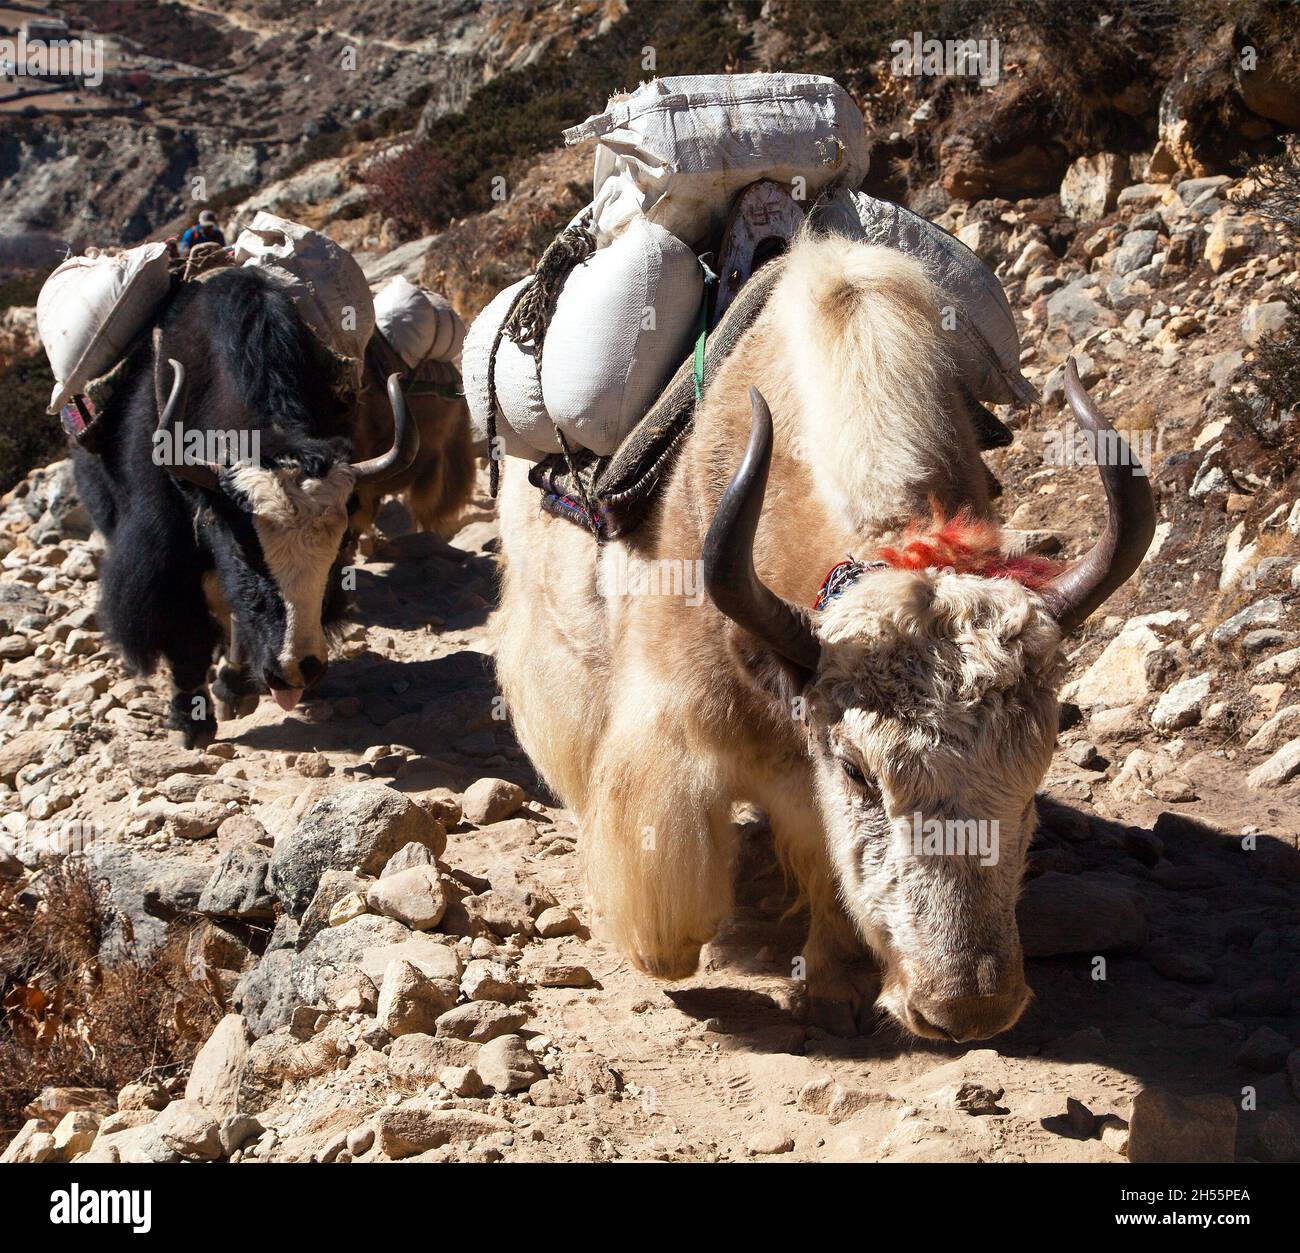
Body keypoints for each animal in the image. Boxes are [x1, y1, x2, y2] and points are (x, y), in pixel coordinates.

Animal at [73, 264, 418, 748]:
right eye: (243, 549)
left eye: (342, 546)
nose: (297, 669)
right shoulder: (167, 535)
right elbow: (185, 614)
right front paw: (190, 719)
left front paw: (235, 685)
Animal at [494, 232, 1155, 1042]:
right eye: (859, 772)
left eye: (1035, 775)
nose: (970, 1009)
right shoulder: (674, 718)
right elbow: (673, 923)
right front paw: (667, 945)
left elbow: (821, 843)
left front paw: (836, 984)